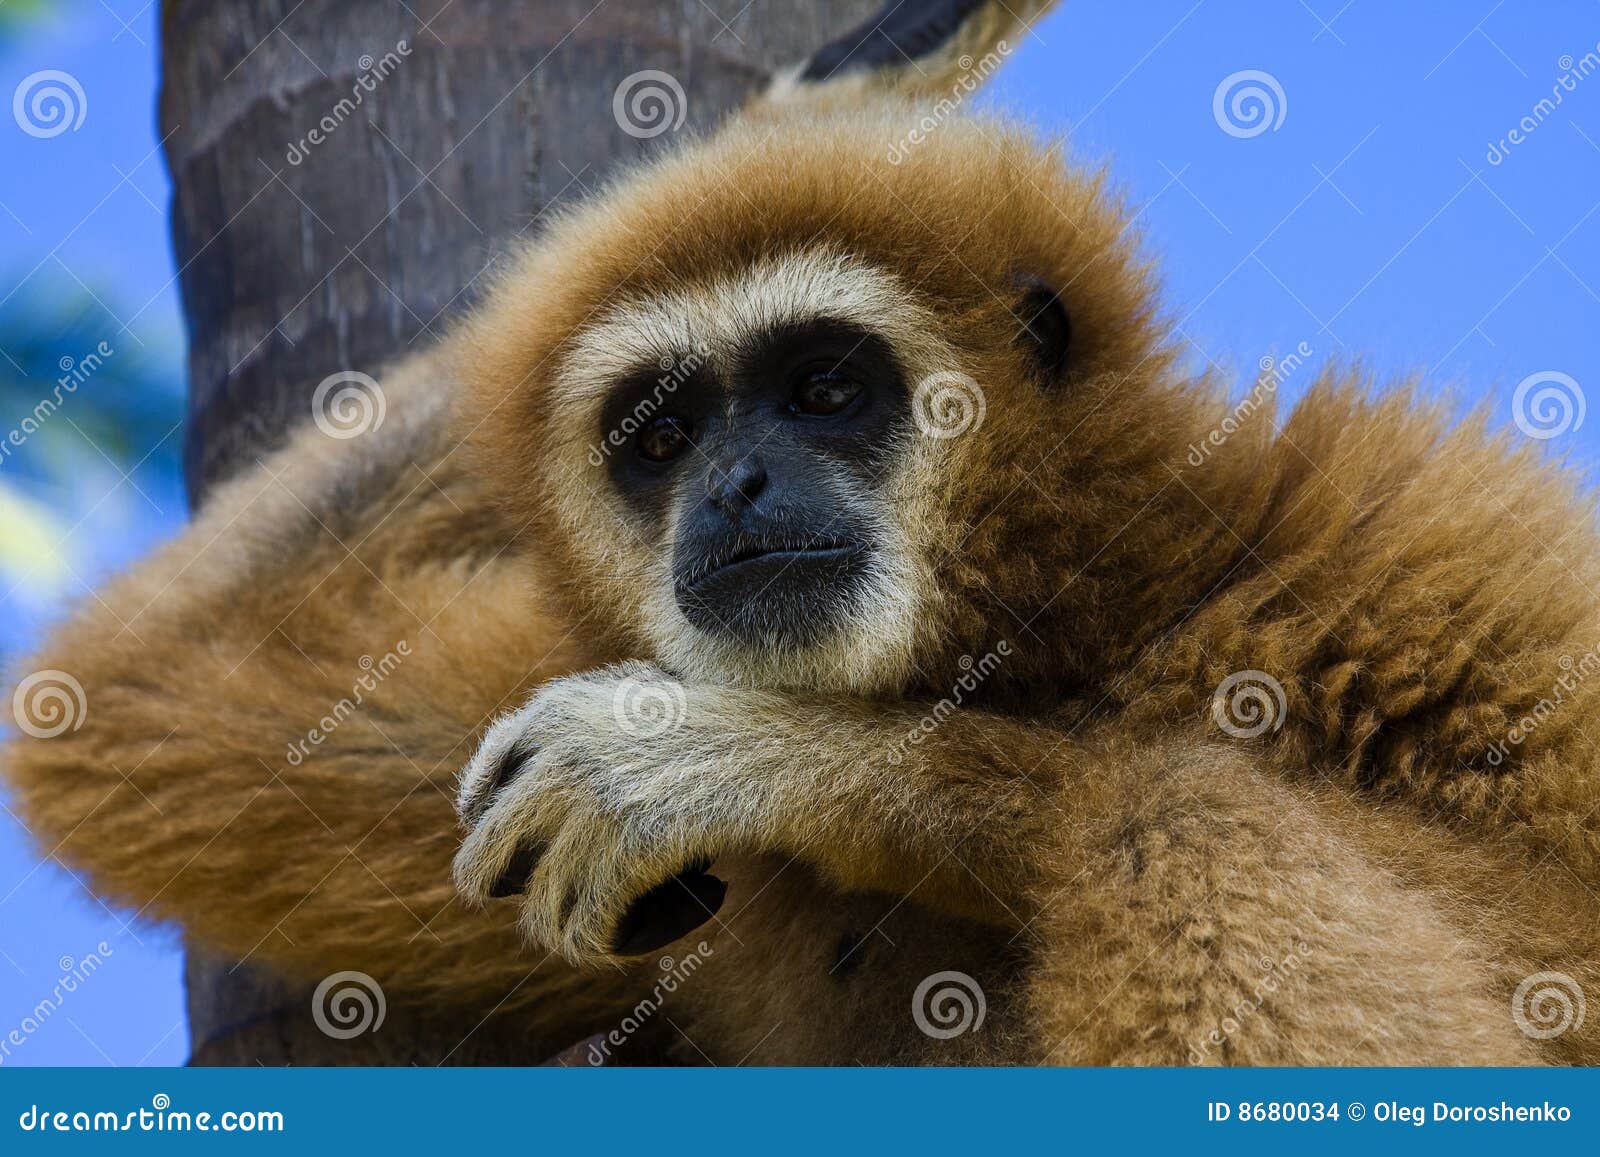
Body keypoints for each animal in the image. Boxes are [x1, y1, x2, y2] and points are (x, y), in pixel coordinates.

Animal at [5, 0, 1600, 1066]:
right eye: (660, 437)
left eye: (826, 389)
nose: (736, 487)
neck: (1082, 607)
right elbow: (123, 695)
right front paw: (843, 93)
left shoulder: (1398, 530)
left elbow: (1558, 932)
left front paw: (749, 758)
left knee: (1183, 817)